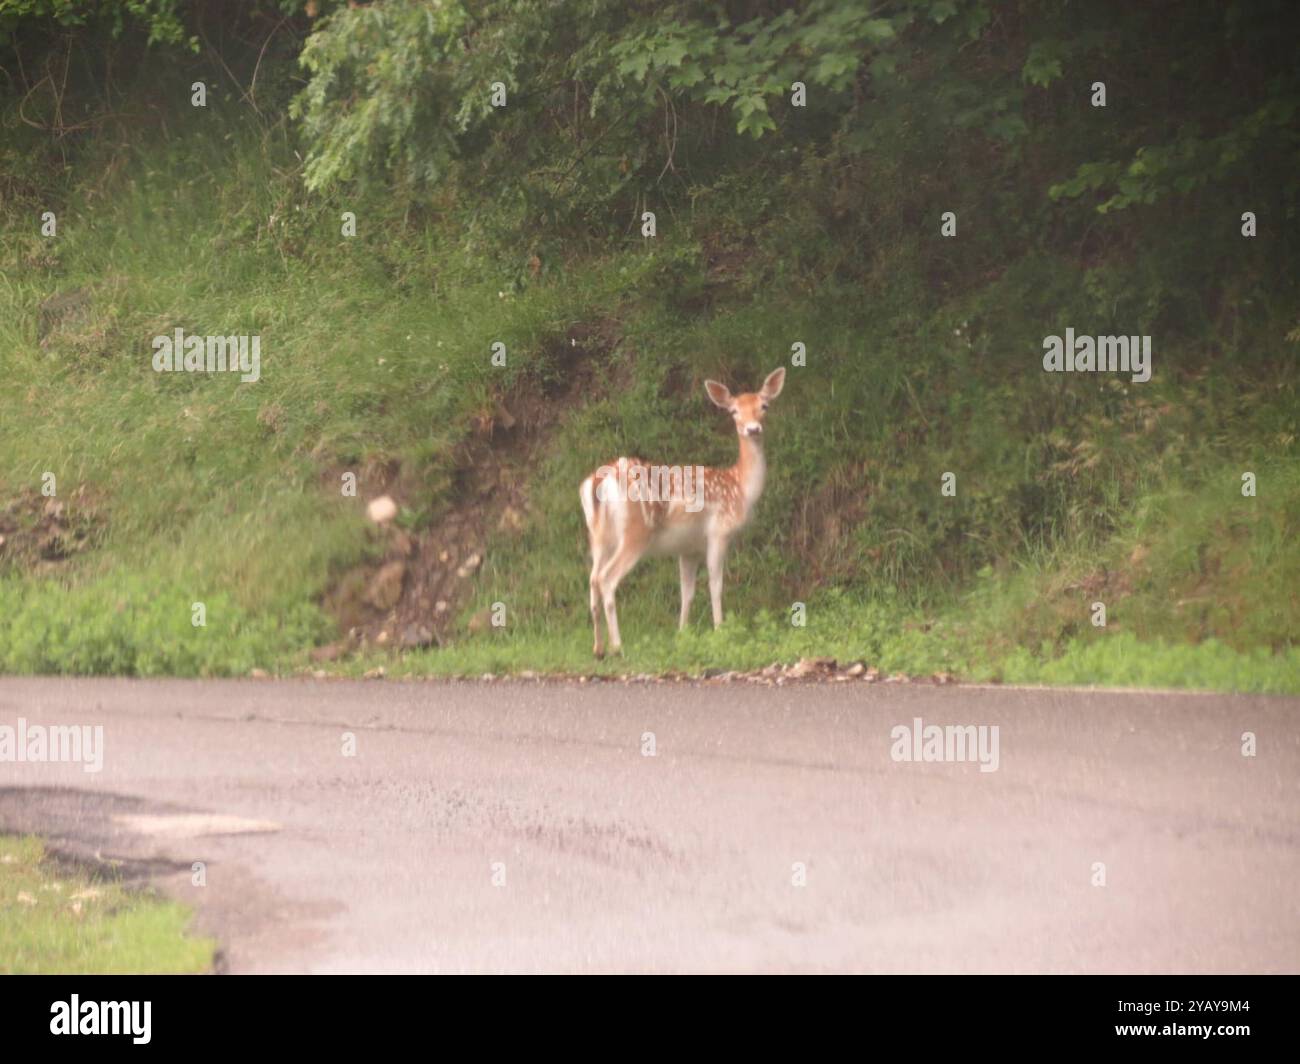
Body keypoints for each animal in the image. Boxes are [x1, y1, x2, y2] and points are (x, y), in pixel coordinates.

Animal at [579, 367, 785, 657]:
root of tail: (599, 480)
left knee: (593, 578)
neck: (740, 487)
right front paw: (720, 630)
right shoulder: (719, 532)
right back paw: (617, 646)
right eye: (734, 411)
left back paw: (598, 648)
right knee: (606, 578)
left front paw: (682, 633)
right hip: (635, 532)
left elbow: (686, 591)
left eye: (763, 406)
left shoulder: (688, 548)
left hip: (598, 535)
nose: (753, 428)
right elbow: (715, 585)